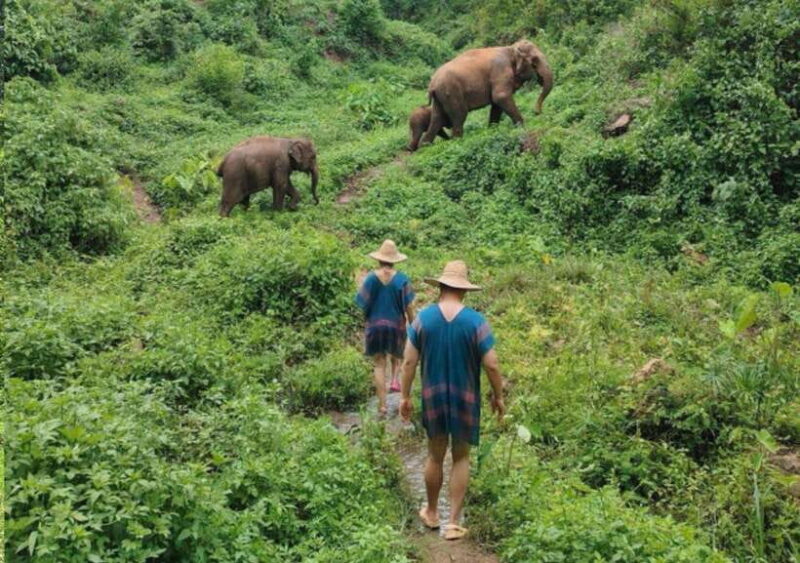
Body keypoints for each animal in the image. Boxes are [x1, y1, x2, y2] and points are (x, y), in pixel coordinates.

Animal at [417, 39, 553, 148]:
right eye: (535, 60)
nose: (537, 112)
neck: (510, 48)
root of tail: (432, 84)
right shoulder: (500, 72)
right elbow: (500, 97)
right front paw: (522, 127)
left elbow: (496, 105)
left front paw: (492, 130)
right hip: (451, 92)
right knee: (459, 116)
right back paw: (457, 143)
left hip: (440, 97)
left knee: (437, 119)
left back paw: (424, 147)